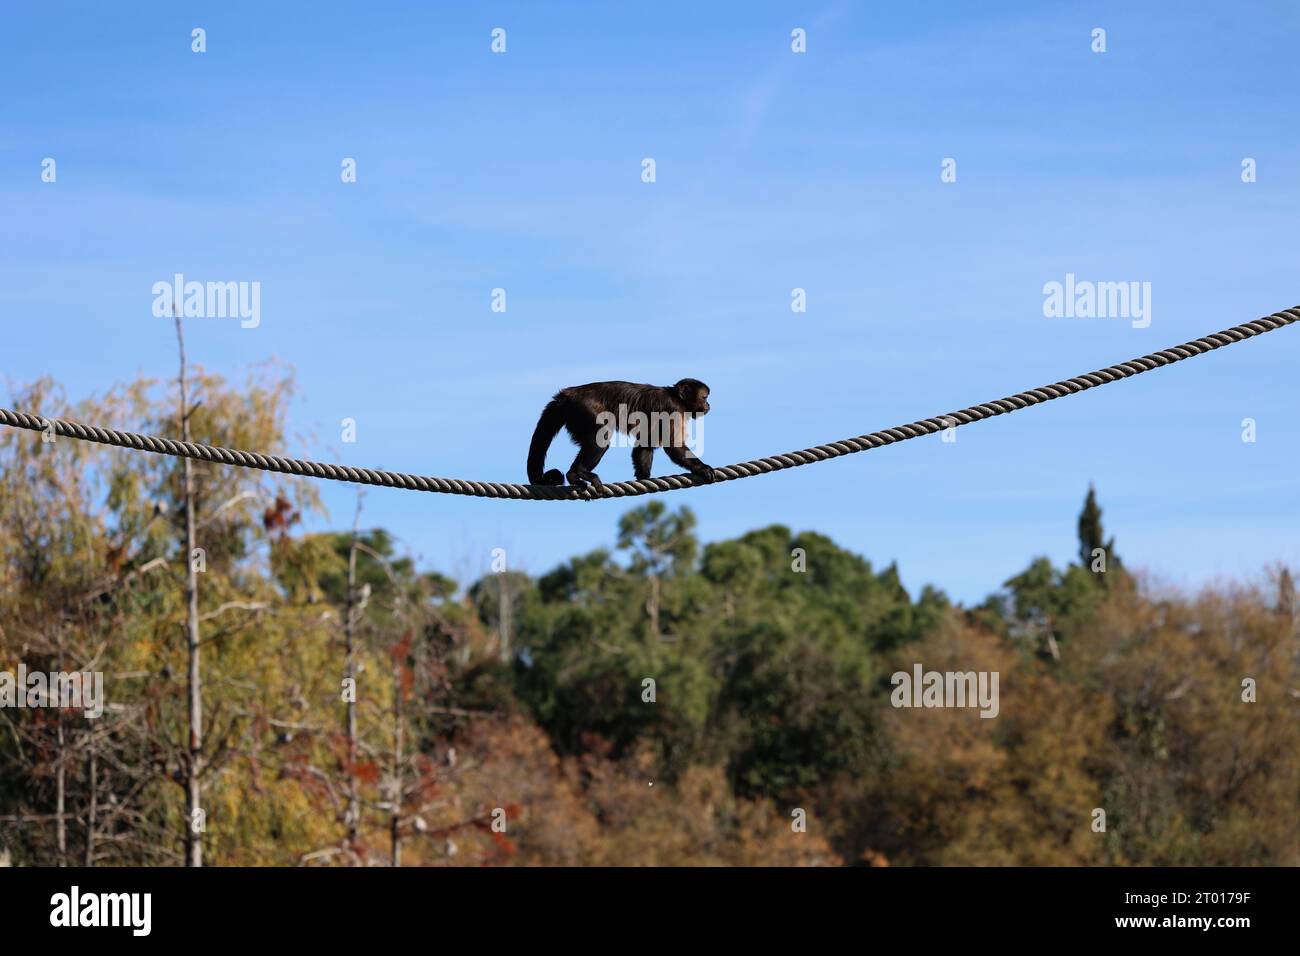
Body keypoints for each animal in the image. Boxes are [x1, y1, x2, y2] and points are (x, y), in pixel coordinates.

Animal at [527, 378, 717, 491]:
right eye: (705, 397)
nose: (709, 405)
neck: (677, 398)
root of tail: (566, 395)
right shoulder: (673, 409)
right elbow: (673, 446)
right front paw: (703, 468)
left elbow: (645, 444)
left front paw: (643, 478)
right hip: (583, 409)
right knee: (602, 436)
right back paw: (576, 472)